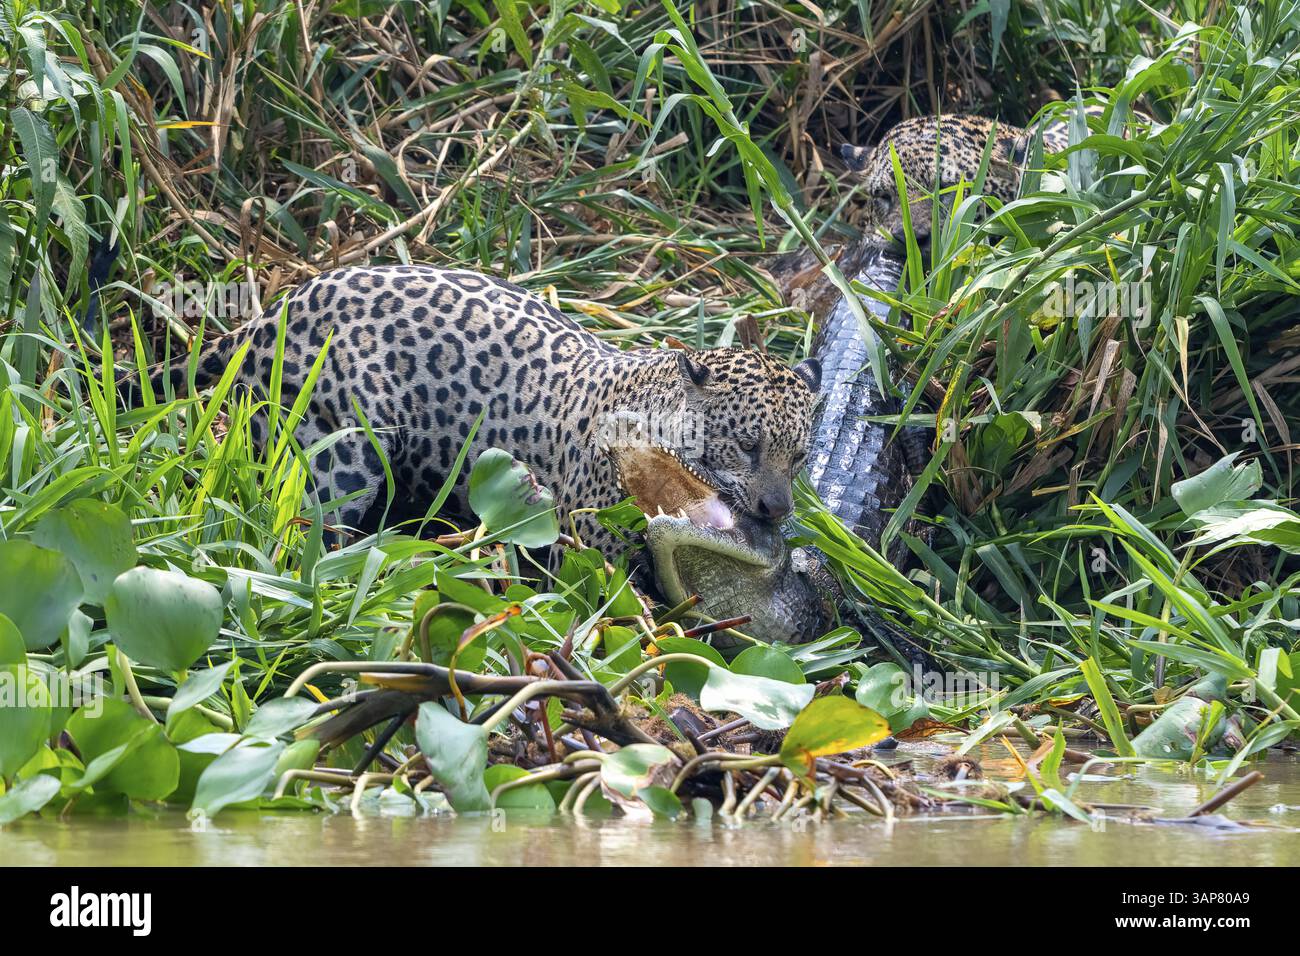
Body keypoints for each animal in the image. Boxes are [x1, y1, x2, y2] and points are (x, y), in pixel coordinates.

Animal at [138, 265, 822, 554]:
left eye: (800, 458)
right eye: (746, 446)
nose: (776, 509)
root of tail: (271, 313)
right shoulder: (590, 538)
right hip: (344, 453)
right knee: (305, 525)